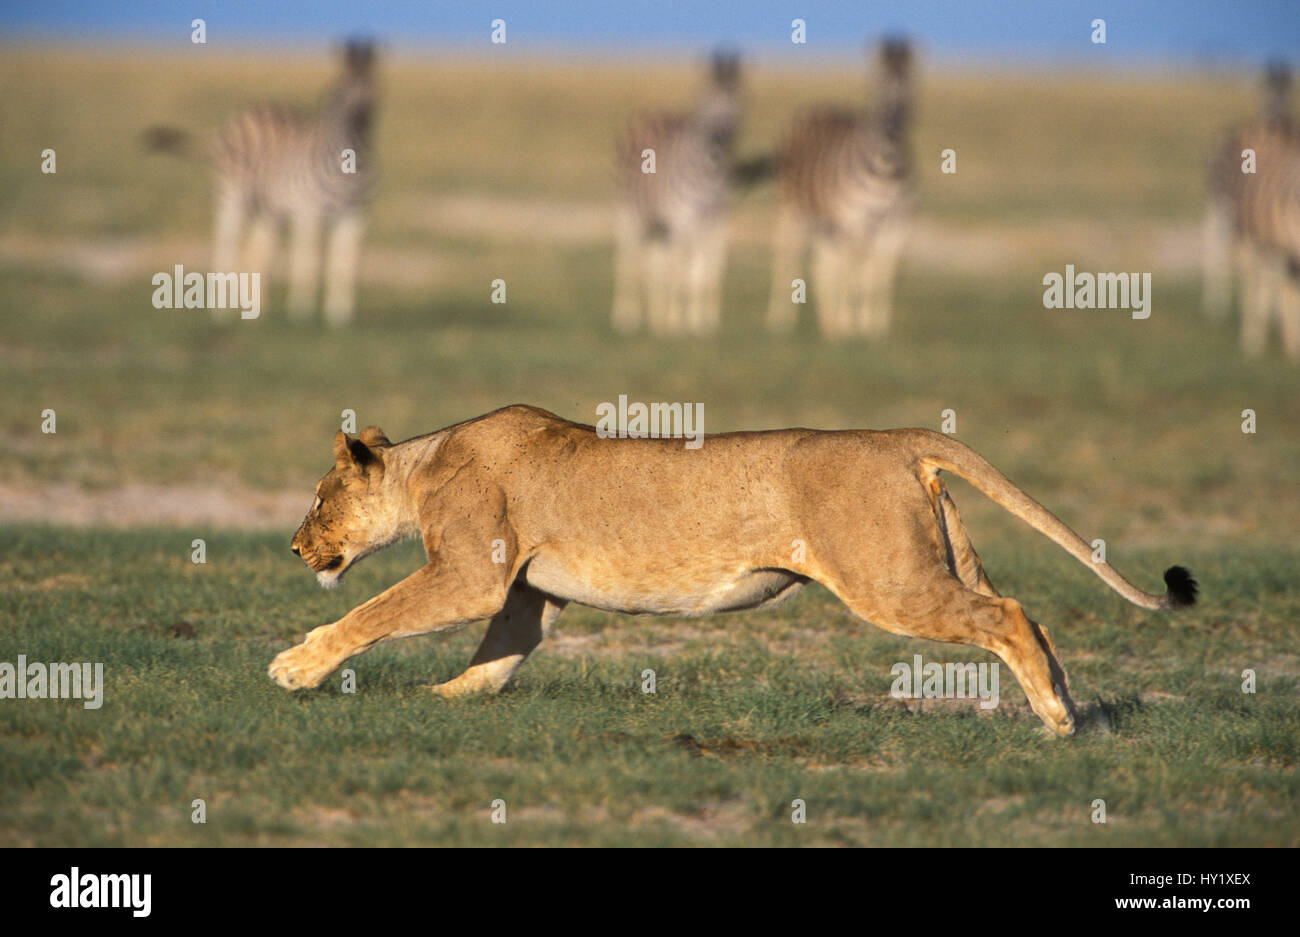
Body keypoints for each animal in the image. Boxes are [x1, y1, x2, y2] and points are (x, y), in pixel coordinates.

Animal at [146, 39, 377, 326]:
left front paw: (339, 317)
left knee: (254, 249)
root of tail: (240, 115)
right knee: (226, 241)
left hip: (268, 207)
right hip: (231, 193)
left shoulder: (355, 215)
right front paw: (301, 315)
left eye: (377, 86)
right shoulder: (308, 212)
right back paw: (221, 312)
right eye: (342, 89)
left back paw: (256, 309)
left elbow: (345, 264)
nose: (364, 123)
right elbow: (306, 261)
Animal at [269, 404, 1197, 736]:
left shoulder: (469, 571)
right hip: (936, 561)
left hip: (890, 581)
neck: (423, 464)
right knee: (1020, 610)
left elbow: (374, 612)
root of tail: (898, 436)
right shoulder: (527, 592)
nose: (294, 548)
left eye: (317, 500)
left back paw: (1057, 719)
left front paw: (295, 666)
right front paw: (445, 699)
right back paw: (1071, 705)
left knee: (1008, 617)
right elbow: (498, 656)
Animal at [612, 50, 743, 336]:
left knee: (654, 266)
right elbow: (681, 272)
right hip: (629, 213)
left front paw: (705, 323)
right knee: (628, 260)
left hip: (659, 224)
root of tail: (649, 112)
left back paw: (655, 319)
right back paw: (627, 318)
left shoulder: (717, 224)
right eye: (709, 96)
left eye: (738, 96)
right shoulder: (683, 221)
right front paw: (678, 324)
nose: (723, 133)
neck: (711, 170)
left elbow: (707, 272)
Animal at [766, 38, 914, 339]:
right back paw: (779, 321)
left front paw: (874, 330)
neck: (886, 168)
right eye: (879, 83)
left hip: (826, 222)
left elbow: (879, 275)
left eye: (909, 82)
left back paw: (829, 324)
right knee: (787, 257)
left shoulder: (895, 225)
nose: (893, 126)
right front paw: (851, 329)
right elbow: (852, 273)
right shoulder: (852, 222)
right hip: (790, 208)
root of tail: (813, 107)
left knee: (821, 264)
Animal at [1204, 61, 1300, 358]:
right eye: (1265, 87)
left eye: (1288, 86)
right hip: (1221, 208)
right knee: (1219, 252)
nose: (1276, 113)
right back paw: (1218, 310)